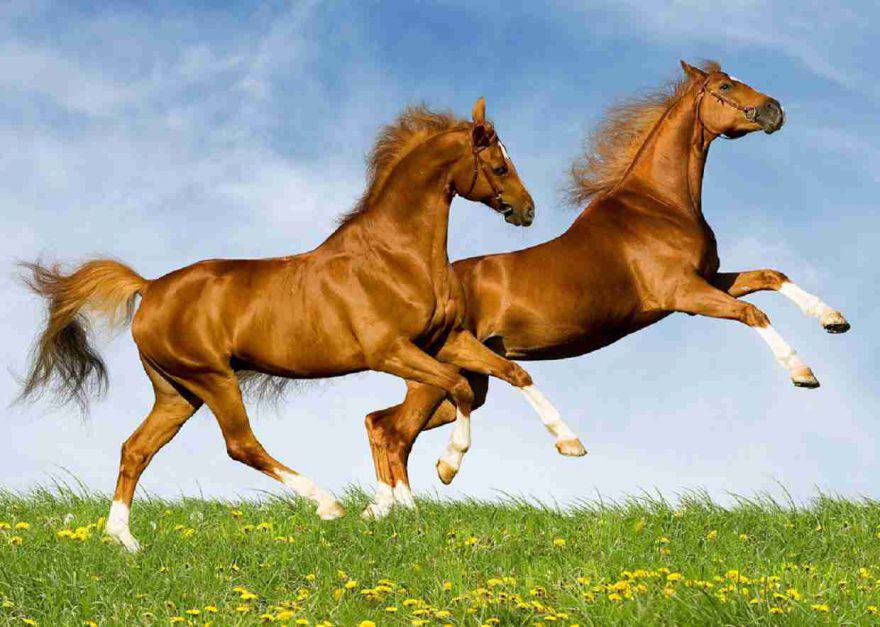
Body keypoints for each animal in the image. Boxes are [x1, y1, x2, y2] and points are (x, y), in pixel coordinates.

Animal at [19, 98, 585, 552]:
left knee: (135, 449)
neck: (396, 255)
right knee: (240, 445)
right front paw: (443, 471)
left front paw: (570, 444)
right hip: (213, 378)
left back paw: (124, 540)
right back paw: (327, 503)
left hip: (177, 391)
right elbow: (455, 392)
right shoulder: (391, 351)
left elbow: (514, 374)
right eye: (498, 165)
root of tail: (151, 287)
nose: (527, 210)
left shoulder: (445, 341)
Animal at [361, 61, 850, 516]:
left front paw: (833, 319)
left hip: (466, 381)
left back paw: (388, 504)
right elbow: (754, 314)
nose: (774, 110)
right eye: (725, 86)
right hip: (438, 377)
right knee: (393, 432)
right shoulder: (685, 294)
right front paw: (803, 373)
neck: (660, 205)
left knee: (381, 423)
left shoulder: (710, 279)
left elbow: (772, 276)